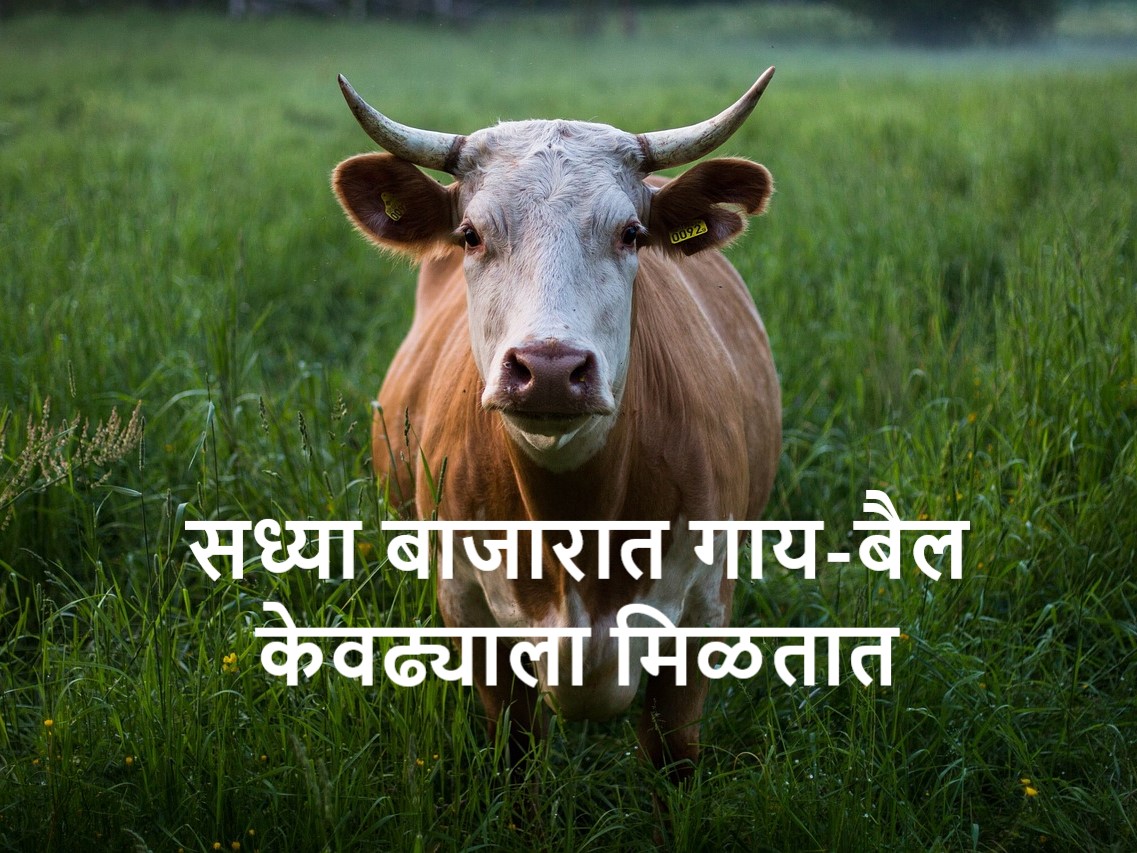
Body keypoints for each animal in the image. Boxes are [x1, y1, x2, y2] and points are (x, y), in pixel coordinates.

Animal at [332, 70, 782, 784]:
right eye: (470, 234)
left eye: (631, 234)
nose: (548, 369)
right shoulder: (472, 615)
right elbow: (517, 755)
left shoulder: (702, 616)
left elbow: (671, 759)